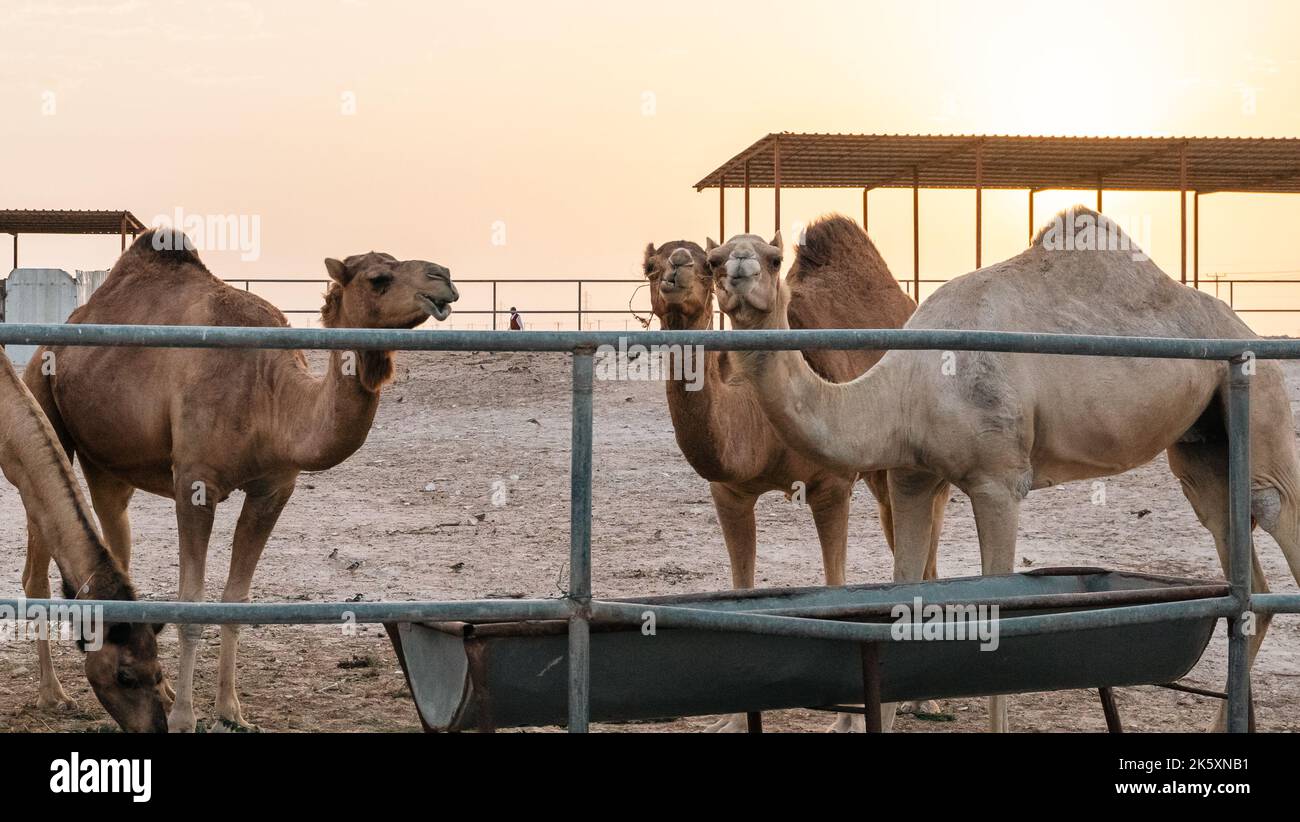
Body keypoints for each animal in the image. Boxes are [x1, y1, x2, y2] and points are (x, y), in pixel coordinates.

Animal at [23, 229, 458, 732]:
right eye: (378, 278)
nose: (444, 278)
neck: (270, 397)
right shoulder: (195, 483)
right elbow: (192, 603)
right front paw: (184, 717)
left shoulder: (274, 489)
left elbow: (237, 599)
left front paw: (231, 710)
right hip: (44, 402)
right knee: (36, 564)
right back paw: (53, 694)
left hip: (109, 464)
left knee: (115, 536)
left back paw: (156, 686)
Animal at [643, 217, 941, 732]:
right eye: (649, 265)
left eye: (702, 263)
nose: (678, 266)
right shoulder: (729, 492)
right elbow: (740, 591)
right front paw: (733, 720)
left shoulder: (832, 487)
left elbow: (837, 588)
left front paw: (846, 720)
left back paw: (927, 701)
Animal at [712, 206, 1300, 733]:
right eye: (715, 260)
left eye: (773, 257)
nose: (739, 271)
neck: (907, 387)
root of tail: (1246, 333)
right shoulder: (911, 477)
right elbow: (901, 594)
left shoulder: (998, 480)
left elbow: (996, 610)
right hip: (1203, 449)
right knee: (1242, 565)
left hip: (1264, 406)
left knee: (1275, 507)